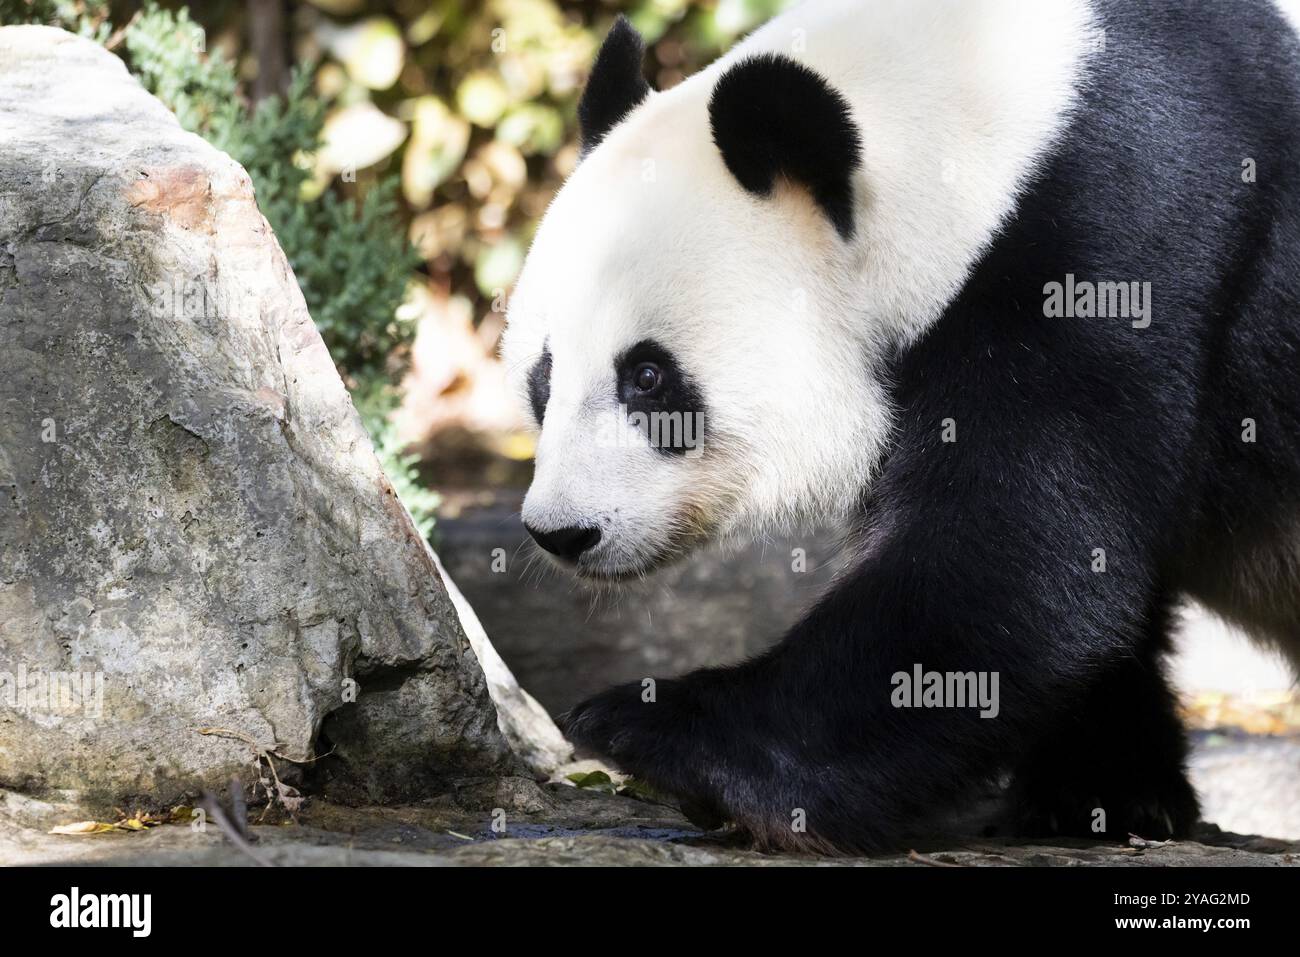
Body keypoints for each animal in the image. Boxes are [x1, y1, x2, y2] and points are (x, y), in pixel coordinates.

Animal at [500, 0, 1300, 853]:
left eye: (647, 376)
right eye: (543, 376)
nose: (563, 531)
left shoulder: (1117, 232)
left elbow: (1010, 562)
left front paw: (657, 732)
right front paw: (1102, 790)